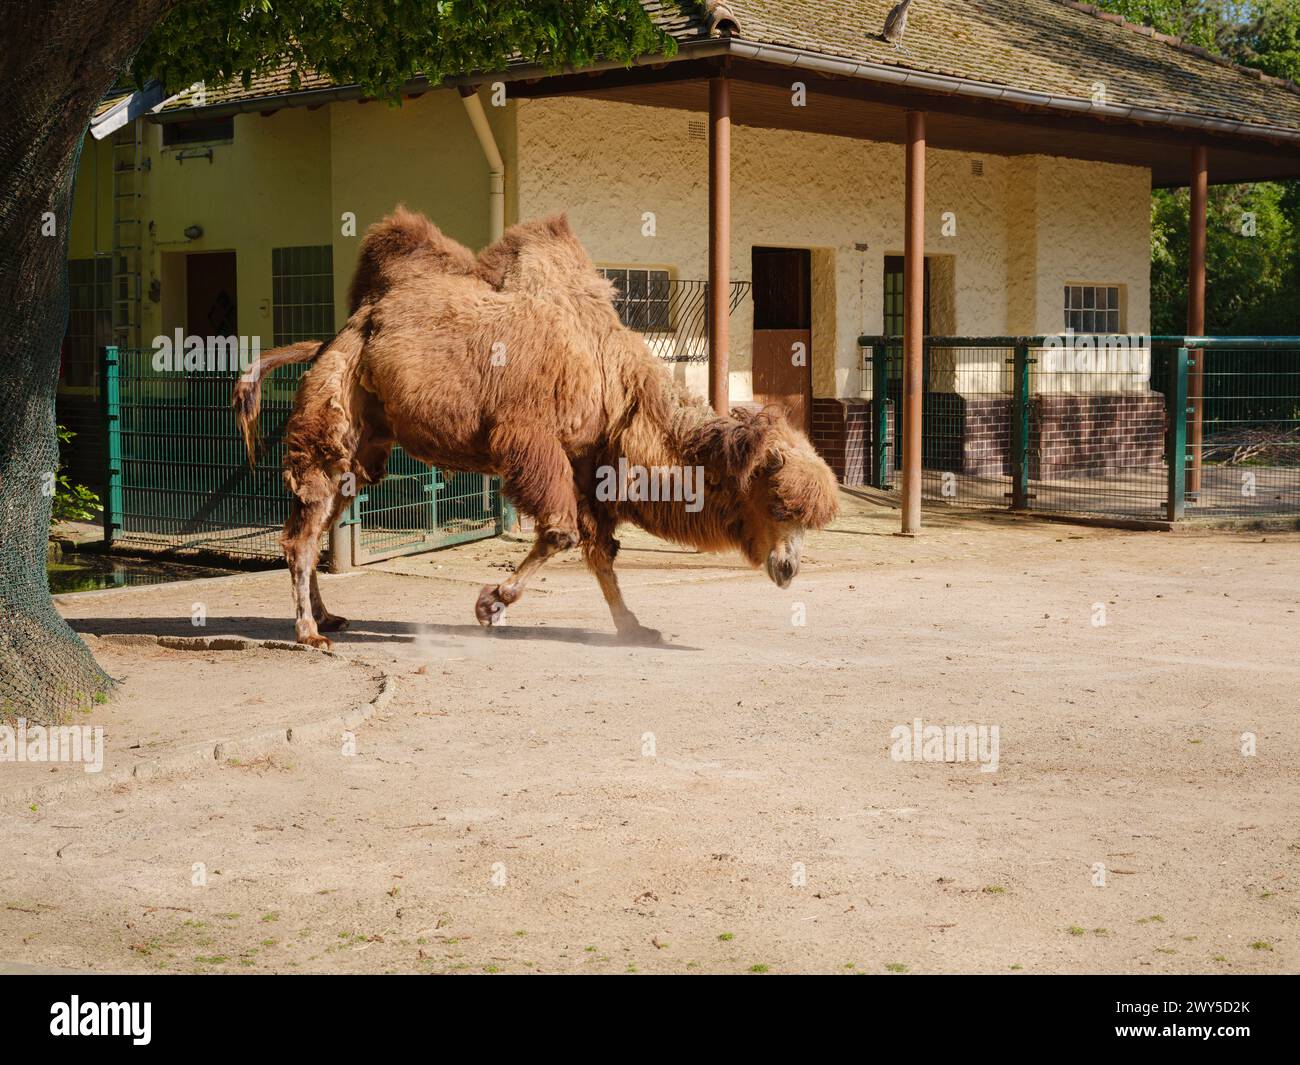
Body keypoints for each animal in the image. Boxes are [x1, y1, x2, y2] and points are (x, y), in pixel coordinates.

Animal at [233, 208, 839, 648]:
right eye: (778, 504)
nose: (790, 569)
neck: (616, 387)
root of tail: (337, 335)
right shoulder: (532, 440)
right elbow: (561, 532)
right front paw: (489, 603)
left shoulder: (589, 466)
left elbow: (601, 551)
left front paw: (634, 628)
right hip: (334, 406)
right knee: (302, 531)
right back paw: (308, 632)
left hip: (368, 442)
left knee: (319, 516)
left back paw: (329, 617)